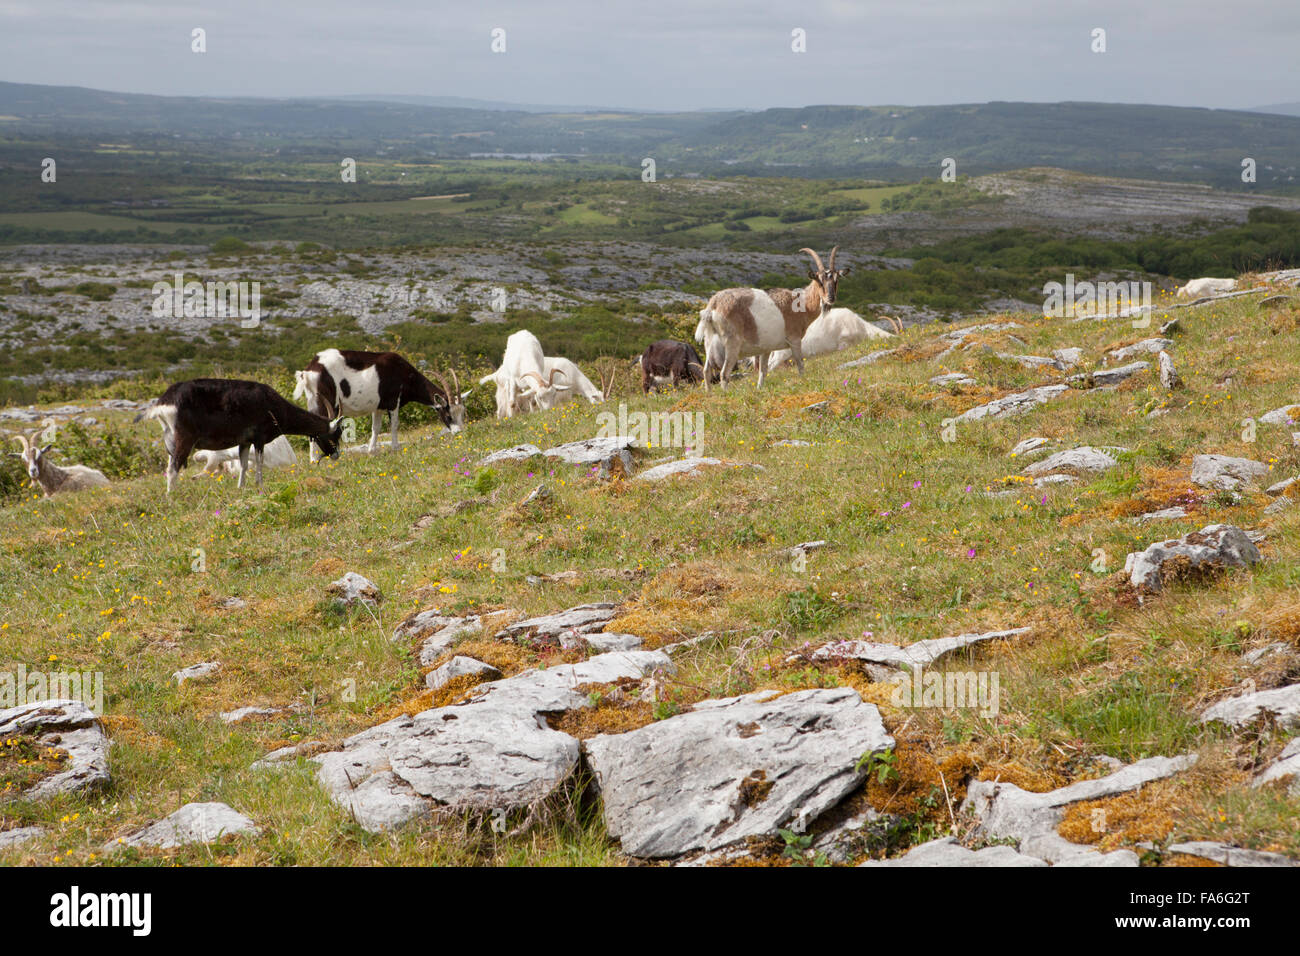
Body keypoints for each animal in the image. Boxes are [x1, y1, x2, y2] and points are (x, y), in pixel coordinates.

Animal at [137, 378, 343, 494]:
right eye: (337, 433)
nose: (336, 455)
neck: (275, 407)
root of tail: (164, 402)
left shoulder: (244, 441)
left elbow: (243, 464)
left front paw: (240, 487)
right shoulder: (259, 438)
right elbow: (258, 462)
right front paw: (260, 486)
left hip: (171, 440)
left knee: (170, 466)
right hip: (184, 439)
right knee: (173, 469)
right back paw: (172, 496)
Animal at [294, 349, 467, 461]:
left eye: (462, 414)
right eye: (448, 415)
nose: (459, 433)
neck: (403, 372)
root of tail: (309, 370)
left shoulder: (378, 406)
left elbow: (375, 428)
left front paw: (371, 451)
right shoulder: (393, 402)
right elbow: (394, 425)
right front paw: (395, 448)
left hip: (313, 400)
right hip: (327, 401)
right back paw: (314, 460)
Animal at [695, 247, 849, 389]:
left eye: (836, 280)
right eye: (819, 281)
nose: (830, 298)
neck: (801, 303)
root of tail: (714, 304)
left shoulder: (766, 348)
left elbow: (763, 371)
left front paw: (759, 389)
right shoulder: (794, 339)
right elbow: (800, 364)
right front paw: (803, 382)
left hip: (709, 342)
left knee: (706, 371)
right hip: (732, 343)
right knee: (724, 373)